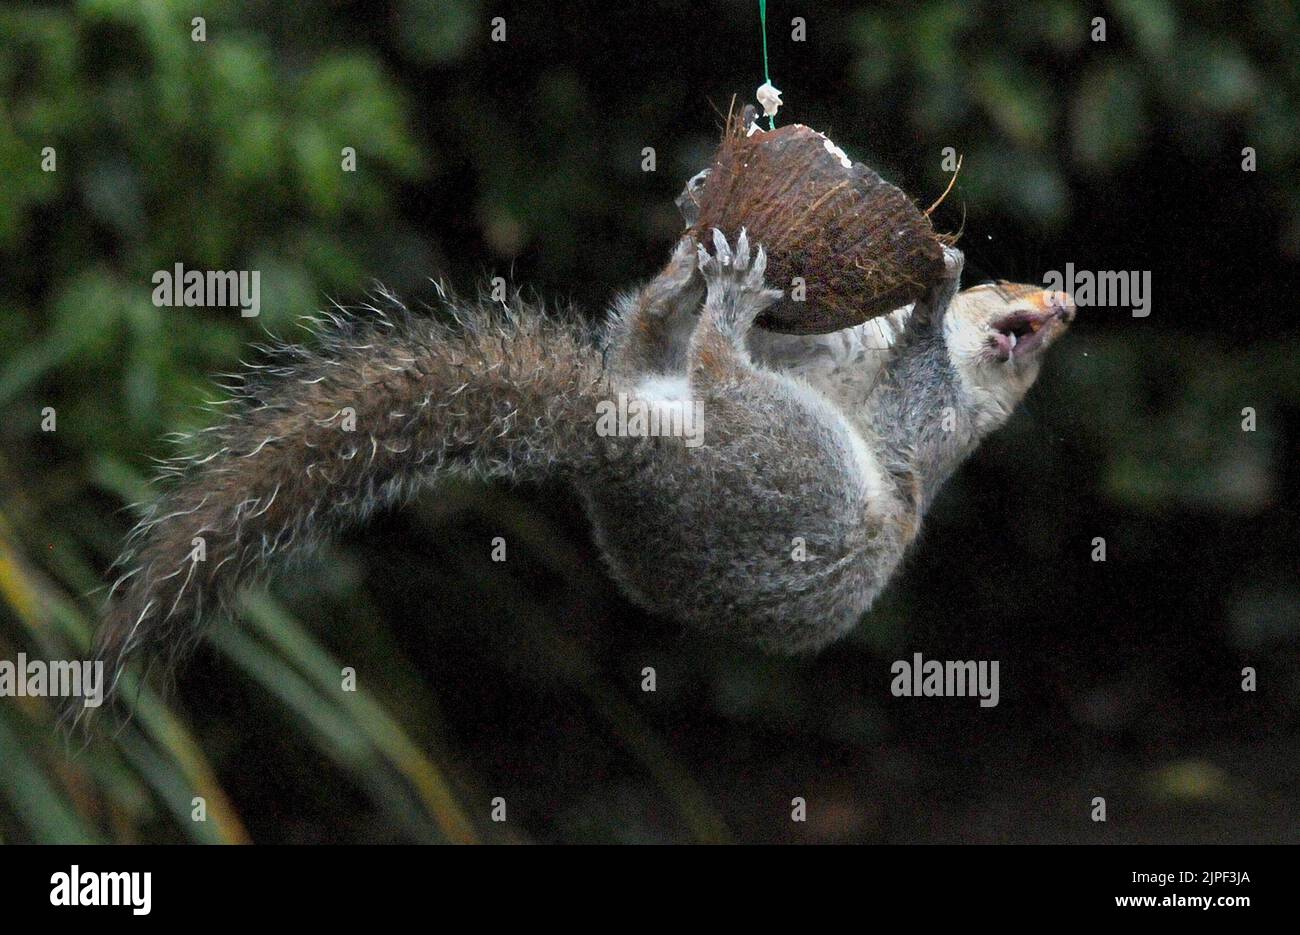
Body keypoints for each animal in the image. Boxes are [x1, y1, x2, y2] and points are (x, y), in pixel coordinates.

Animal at [82, 196, 1075, 715]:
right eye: (1010, 283)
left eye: (1031, 343)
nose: (1065, 304)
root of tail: (619, 448)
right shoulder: (831, 354)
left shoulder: (932, 424)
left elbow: (912, 394)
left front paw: (931, 288)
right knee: (648, 345)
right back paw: (681, 283)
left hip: (790, 460)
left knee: (721, 372)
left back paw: (721, 308)